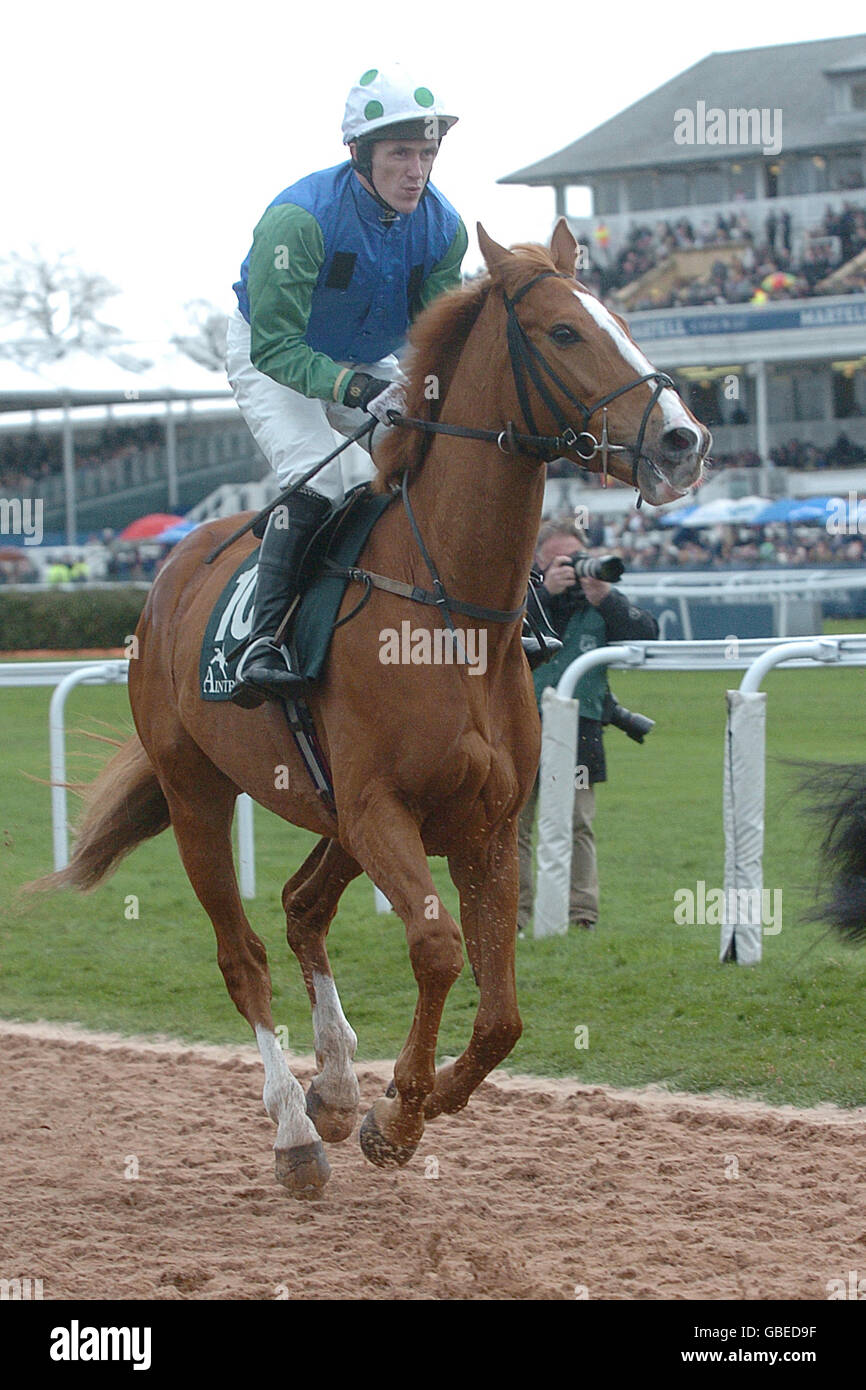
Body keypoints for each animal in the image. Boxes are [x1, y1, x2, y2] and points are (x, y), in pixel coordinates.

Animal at [29, 219, 710, 1199]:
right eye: (563, 332)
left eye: (618, 318)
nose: (683, 440)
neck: (449, 609)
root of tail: (170, 570)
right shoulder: (381, 807)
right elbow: (437, 951)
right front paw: (398, 1119)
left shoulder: (481, 824)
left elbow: (503, 1014)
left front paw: (401, 1102)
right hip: (201, 796)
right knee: (243, 956)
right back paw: (295, 1130)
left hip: (329, 813)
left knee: (302, 906)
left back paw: (337, 1086)